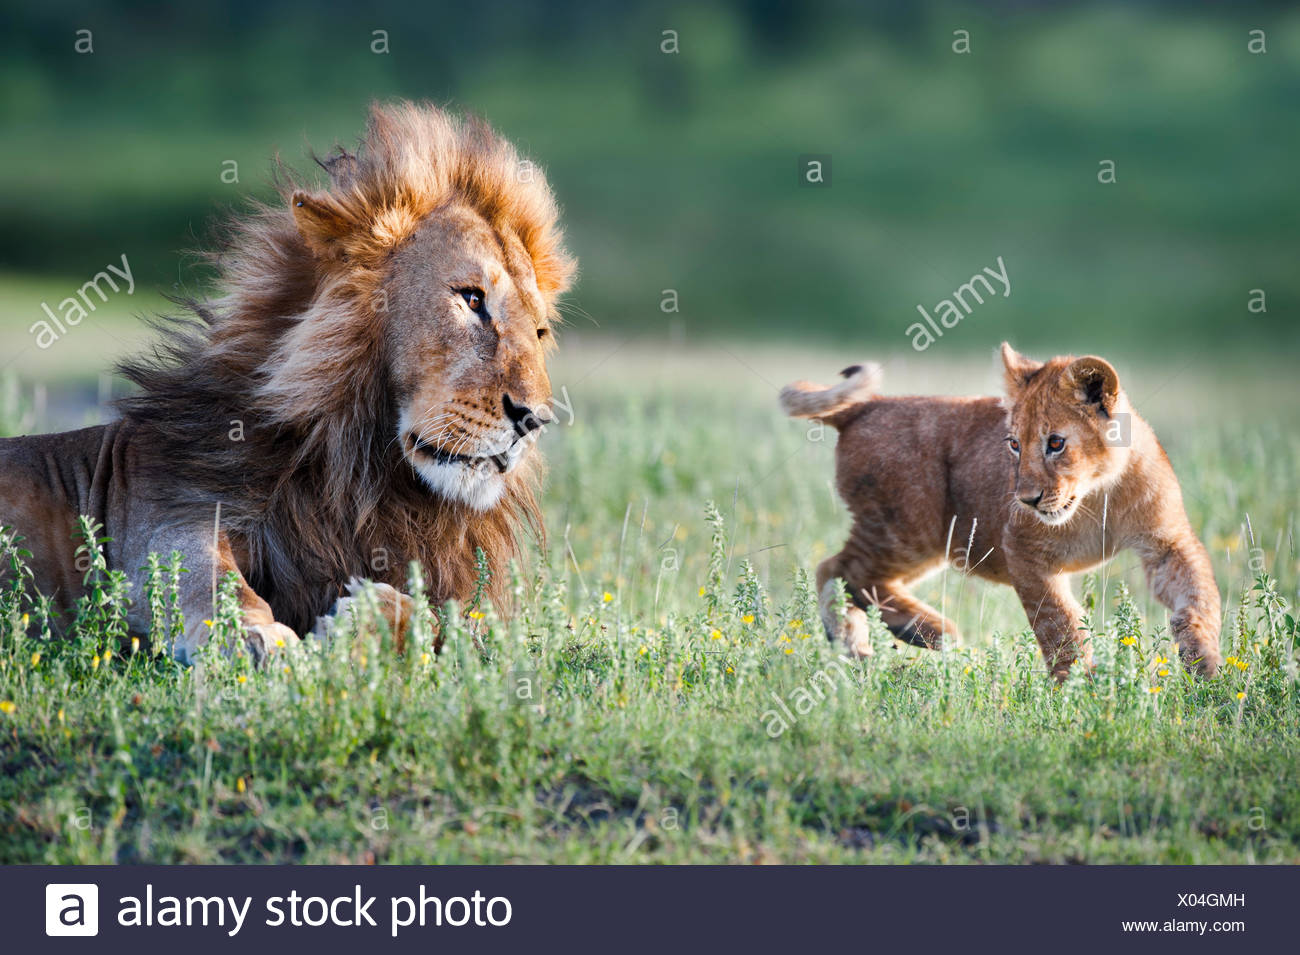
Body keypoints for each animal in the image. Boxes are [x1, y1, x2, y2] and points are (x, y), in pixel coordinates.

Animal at [0, 101, 575, 662]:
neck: (364, 475)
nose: (534, 420)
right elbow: (211, 583)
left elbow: (428, 618)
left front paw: (358, 621)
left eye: (540, 330)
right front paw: (257, 640)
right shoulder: (166, 520)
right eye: (472, 299)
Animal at [781, 343, 1221, 680]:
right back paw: (891, 640)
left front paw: (1207, 671)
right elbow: (1058, 622)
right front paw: (1081, 687)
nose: (1026, 499)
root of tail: (865, 406)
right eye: (1013, 444)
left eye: (1056, 443)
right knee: (838, 570)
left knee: (851, 576)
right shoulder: (1022, 550)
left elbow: (1198, 598)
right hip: (910, 529)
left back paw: (906, 637)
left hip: (928, 539)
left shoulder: (1167, 542)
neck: (1098, 494)